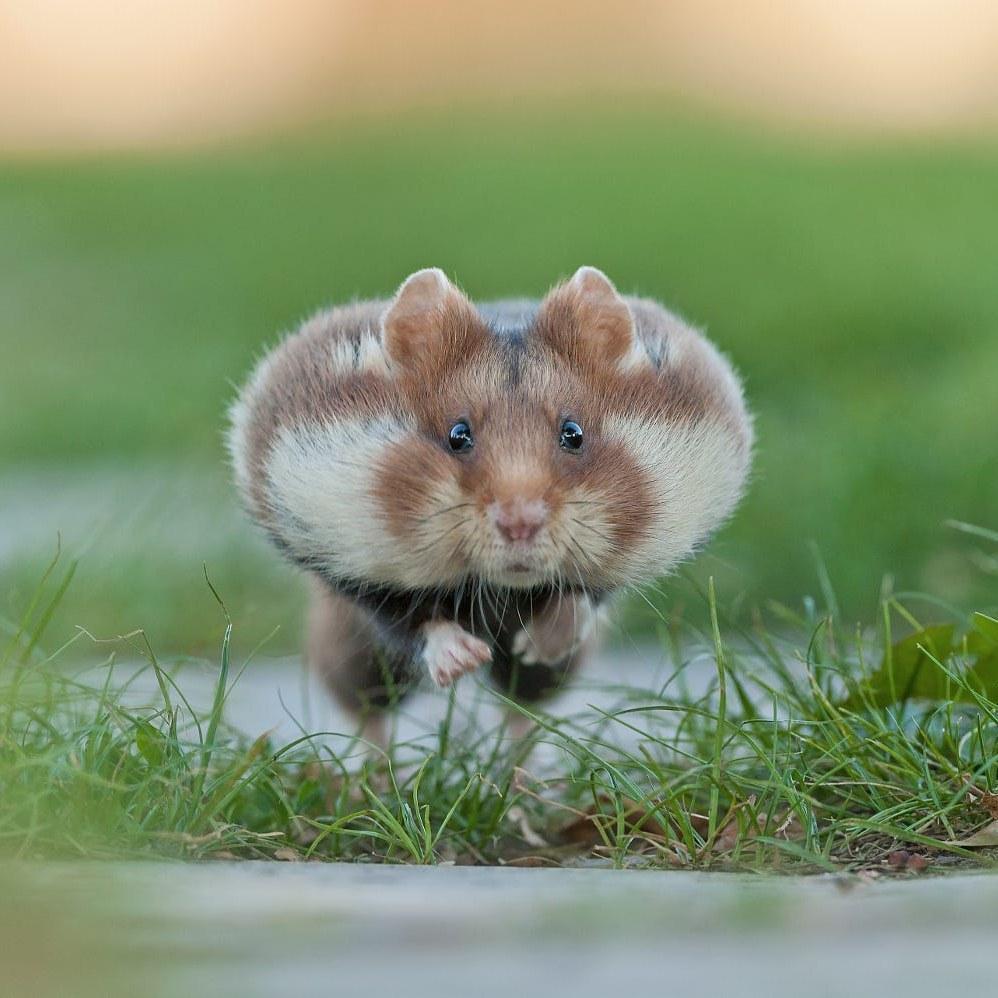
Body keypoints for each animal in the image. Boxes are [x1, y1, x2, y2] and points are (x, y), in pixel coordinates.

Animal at [228, 266, 752, 727]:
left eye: (574, 433)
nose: (520, 524)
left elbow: (582, 597)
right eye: (458, 435)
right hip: (349, 647)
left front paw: (537, 643)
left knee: (522, 709)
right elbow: (413, 619)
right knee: (367, 712)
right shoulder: (353, 570)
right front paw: (463, 661)